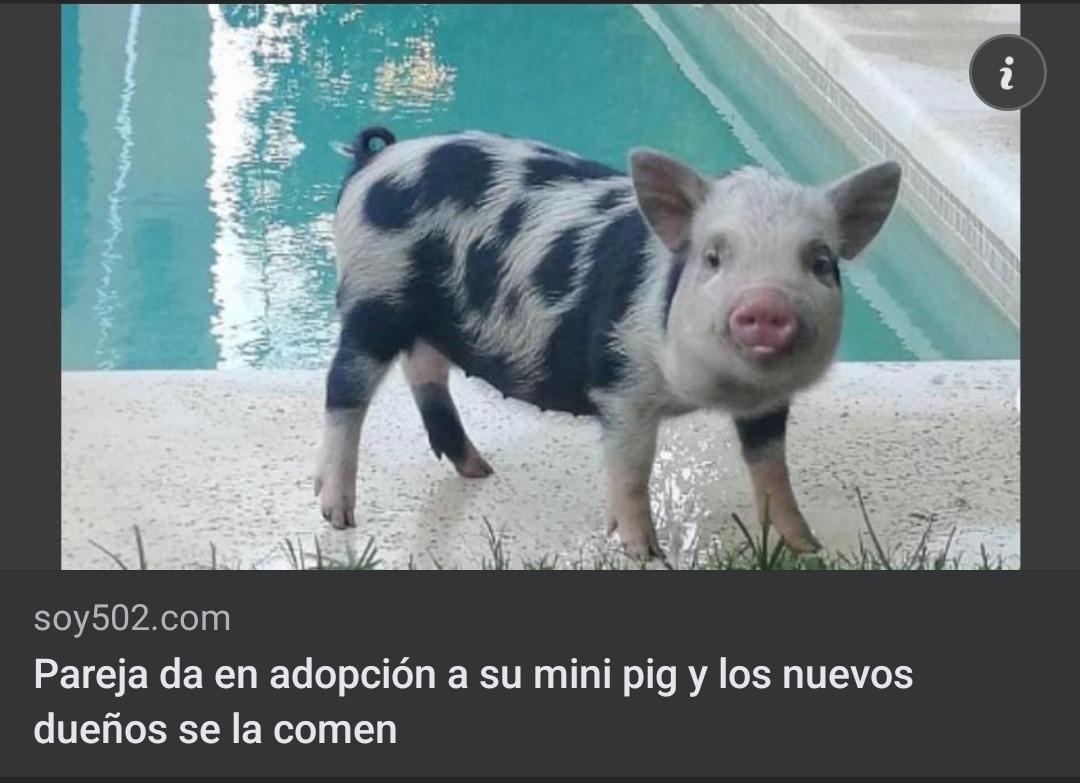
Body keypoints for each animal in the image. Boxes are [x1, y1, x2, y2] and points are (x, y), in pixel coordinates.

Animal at [315, 125, 902, 561]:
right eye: (713, 256)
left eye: (820, 261)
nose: (767, 303)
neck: (713, 392)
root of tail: (373, 161)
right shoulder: (622, 385)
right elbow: (632, 468)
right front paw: (644, 551)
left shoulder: (767, 404)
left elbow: (773, 470)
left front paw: (808, 546)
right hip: (373, 297)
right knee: (344, 390)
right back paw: (339, 515)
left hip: (421, 318)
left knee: (425, 369)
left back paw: (479, 469)